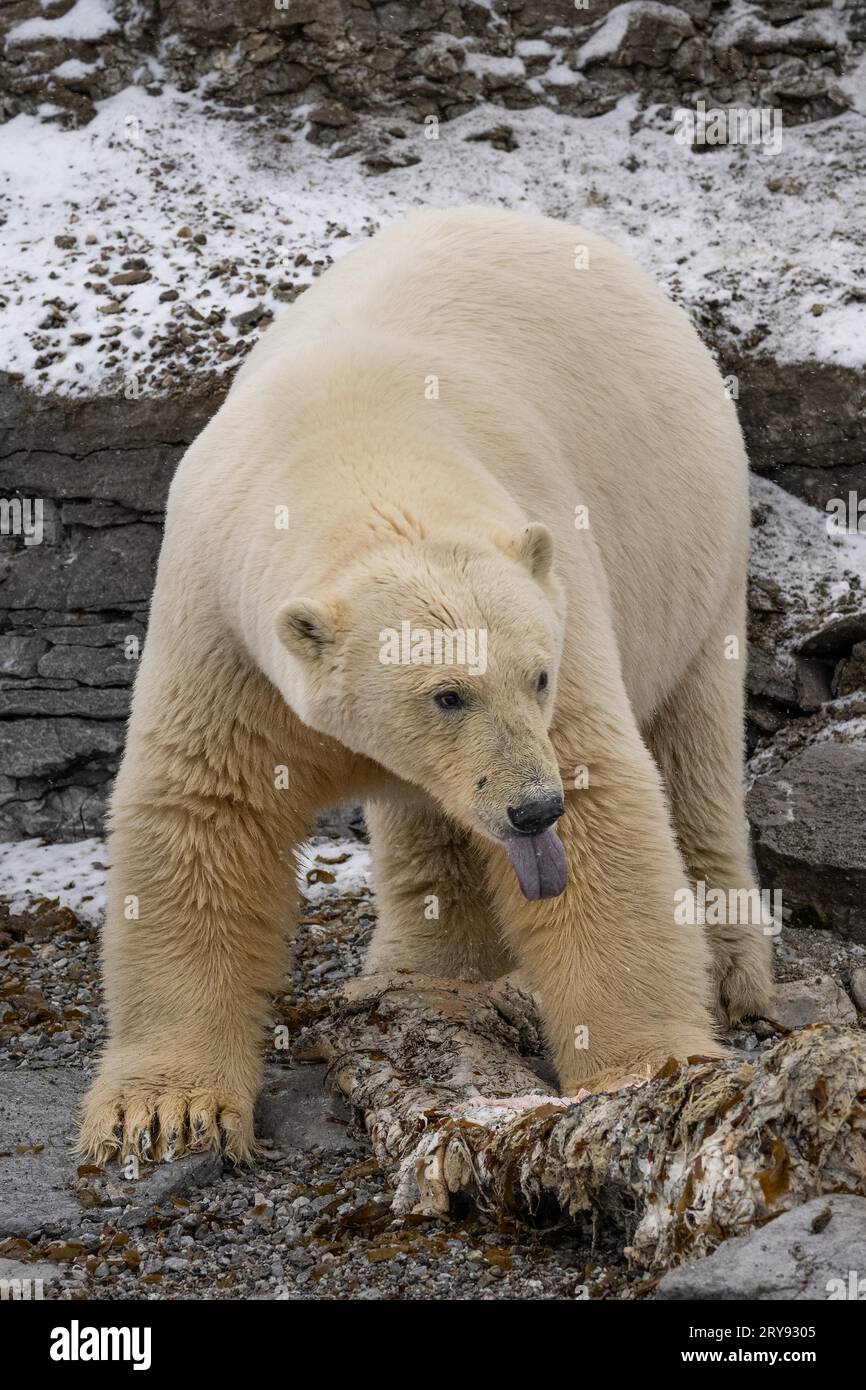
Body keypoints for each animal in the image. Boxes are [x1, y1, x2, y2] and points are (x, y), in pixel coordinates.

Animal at [78, 206, 773, 1163]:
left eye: (539, 677)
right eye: (447, 694)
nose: (531, 809)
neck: (361, 444)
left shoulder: (555, 578)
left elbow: (605, 803)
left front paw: (650, 1067)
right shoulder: (222, 617)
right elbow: (205, 811)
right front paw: (163, 1111)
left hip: (697, 551)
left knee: (693, 747)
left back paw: (730, 969)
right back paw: (423, 976)